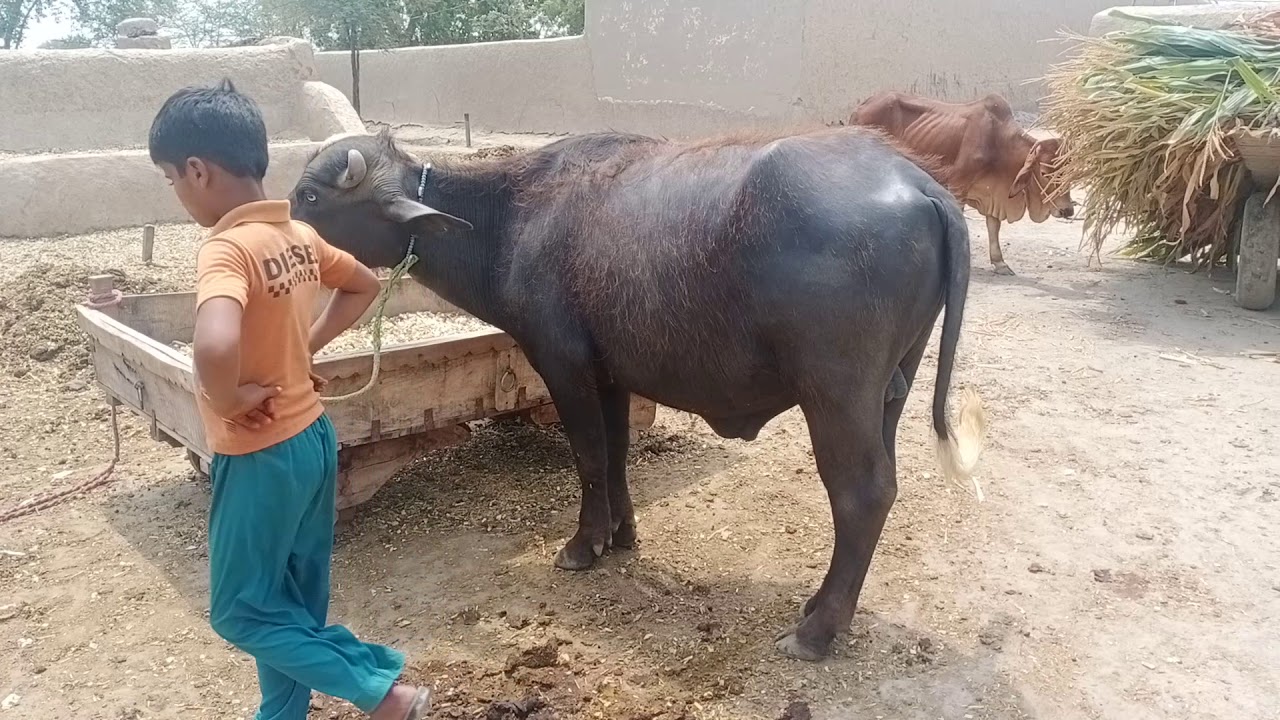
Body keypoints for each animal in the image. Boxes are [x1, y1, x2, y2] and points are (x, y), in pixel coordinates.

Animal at [291, 127, 987, 661]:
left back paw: (816, 631)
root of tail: (920, 183)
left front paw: (582, 546)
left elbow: (589, 457)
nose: (280, 227)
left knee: (862, 493)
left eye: (310, 194)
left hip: (836, 393)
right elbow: (618, 453)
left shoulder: (563, 364)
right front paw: (620, 534)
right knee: (880, 483)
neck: (515, 218)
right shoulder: (612, 376)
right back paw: (822, 608)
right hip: (890, 388)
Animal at [851, 92, 1075, 275]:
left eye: (1070, 174)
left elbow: (994, 225)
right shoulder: (958, 186)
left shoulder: (993, 194)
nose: (1067, 210)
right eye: (1045, 173)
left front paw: (1000, 263)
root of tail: (860, 107)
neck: (998, 143)